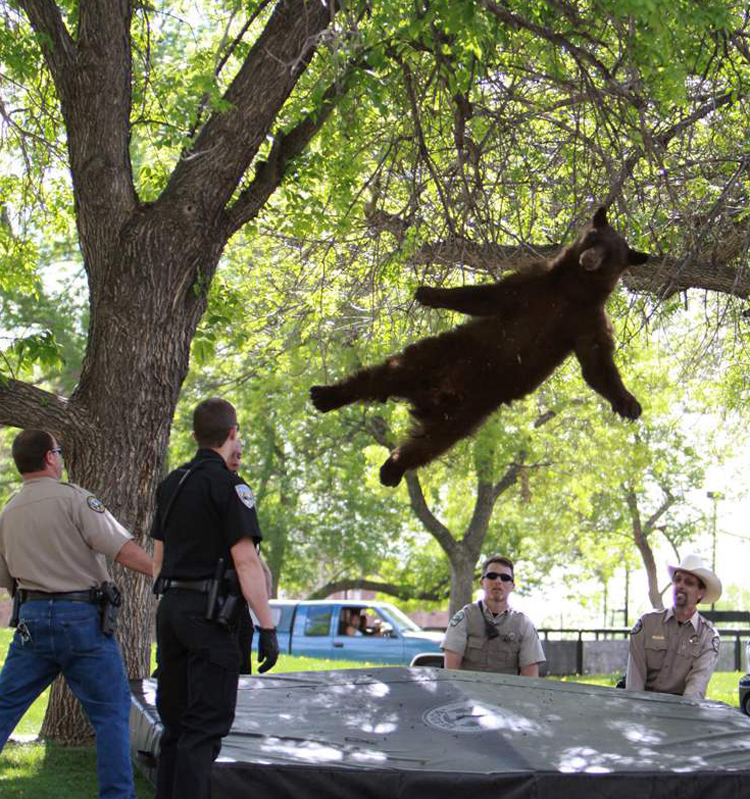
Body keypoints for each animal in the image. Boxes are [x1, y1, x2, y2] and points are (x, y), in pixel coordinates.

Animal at [310, 206, 649, 487]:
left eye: (611, 254)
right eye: (594, 237)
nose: (589, 258)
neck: (573, 289)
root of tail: (430, 396)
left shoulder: (586, 320)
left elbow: (596, 362)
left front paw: (628, 403)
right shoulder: (534, 283)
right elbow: (487, 296)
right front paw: (429, 293)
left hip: (469, 412)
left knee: (429, 443)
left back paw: (391, 469)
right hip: (439, 354)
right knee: (381, 375)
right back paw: (328, 395)